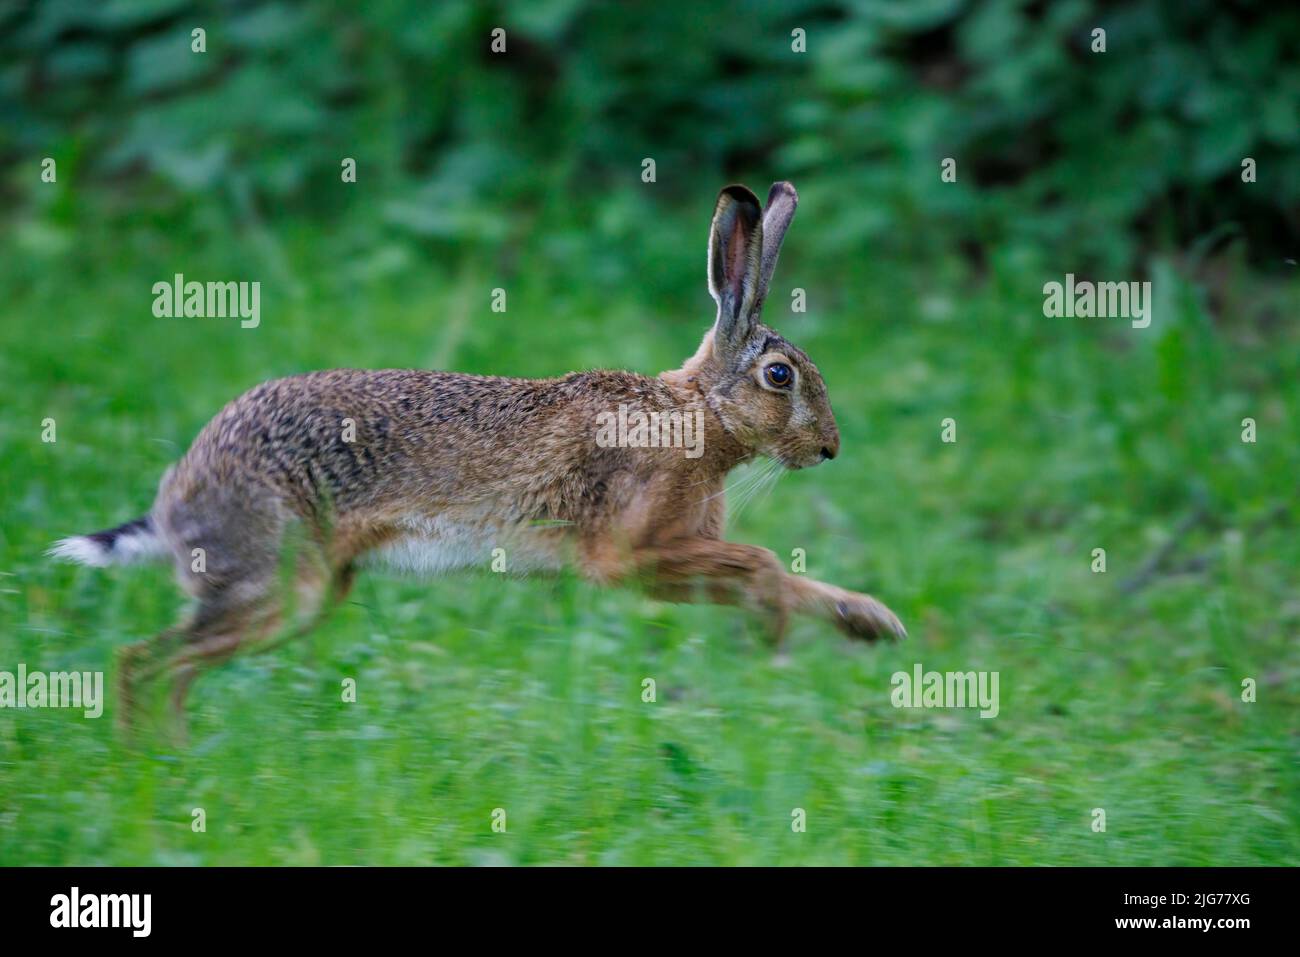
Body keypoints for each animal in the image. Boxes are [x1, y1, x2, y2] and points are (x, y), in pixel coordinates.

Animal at [50, 181, 905, 733]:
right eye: (780, 376)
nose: (830, 448)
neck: (694, 414)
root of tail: (177, 493)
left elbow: (781, 571)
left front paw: (871, 623)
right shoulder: (630, 553)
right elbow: (761, 562)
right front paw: (775, 631)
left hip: (305, 592)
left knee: (171, 667)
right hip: (276, 580)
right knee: (140, 661)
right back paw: (149, 769)